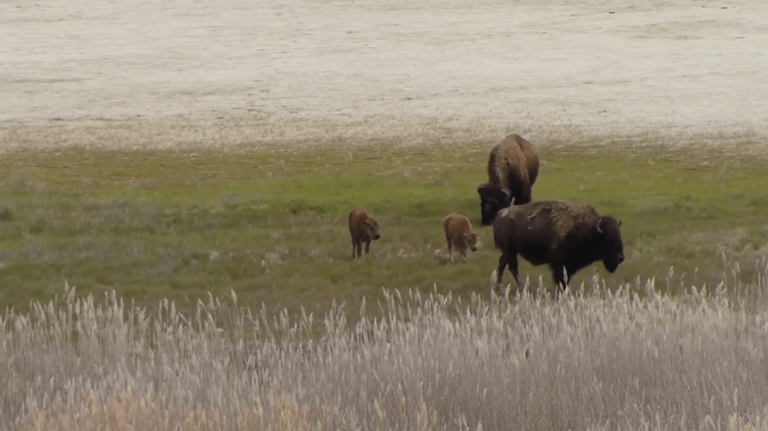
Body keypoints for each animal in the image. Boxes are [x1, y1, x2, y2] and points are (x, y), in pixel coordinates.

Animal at [493, 200, 625, 295]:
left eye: (620, 235)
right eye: (608, 239)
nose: (621, 257)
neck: (586, 229)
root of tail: (499, 214)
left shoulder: (569, 266)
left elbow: (566, 280)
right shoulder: (559, 264)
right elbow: (561, 280)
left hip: (509, 251)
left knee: (502, 264)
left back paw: (500, 288)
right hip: (510, 250)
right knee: (512, 267)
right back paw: (521, 287)